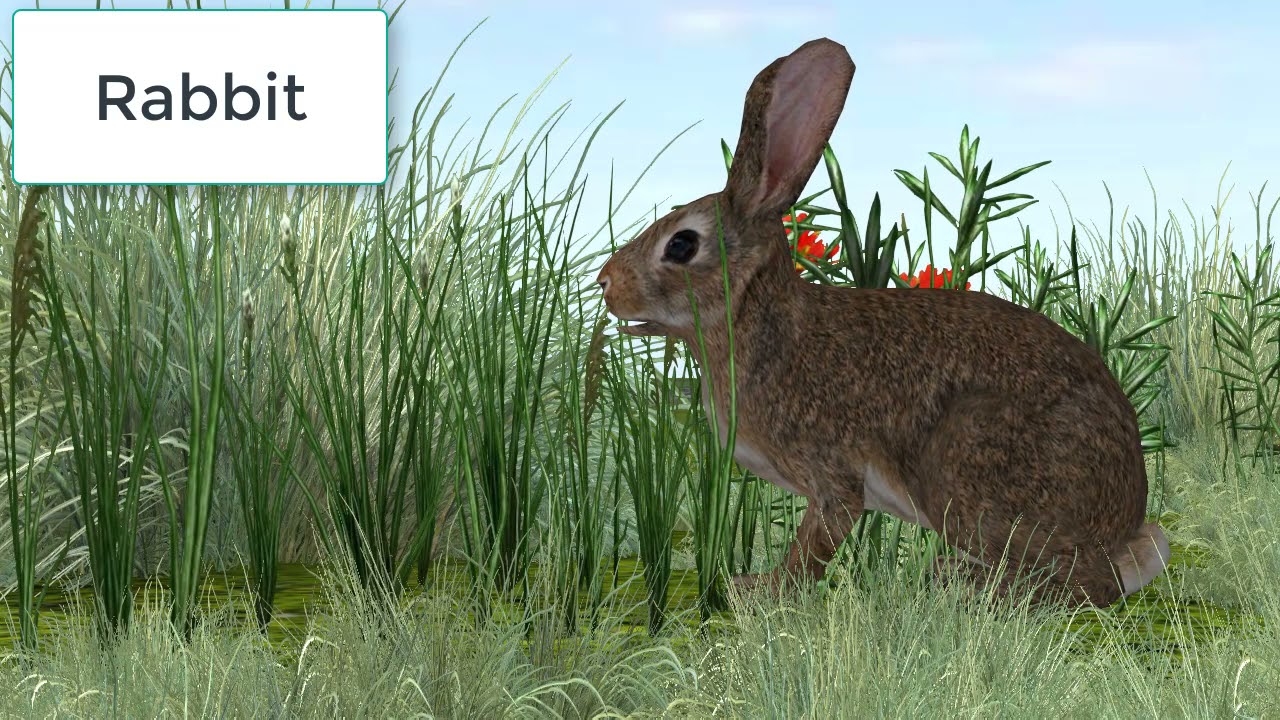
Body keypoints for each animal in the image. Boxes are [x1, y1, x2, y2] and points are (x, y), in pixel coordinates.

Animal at [594, 37, 1171, 607]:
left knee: (1089, 583)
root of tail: (1125, 519)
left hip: (966, 466)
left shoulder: (832, 473)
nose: (605, 283)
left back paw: (962, 585)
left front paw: (760, 590)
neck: (760, 325)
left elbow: (817, 541)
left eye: (682, 244)